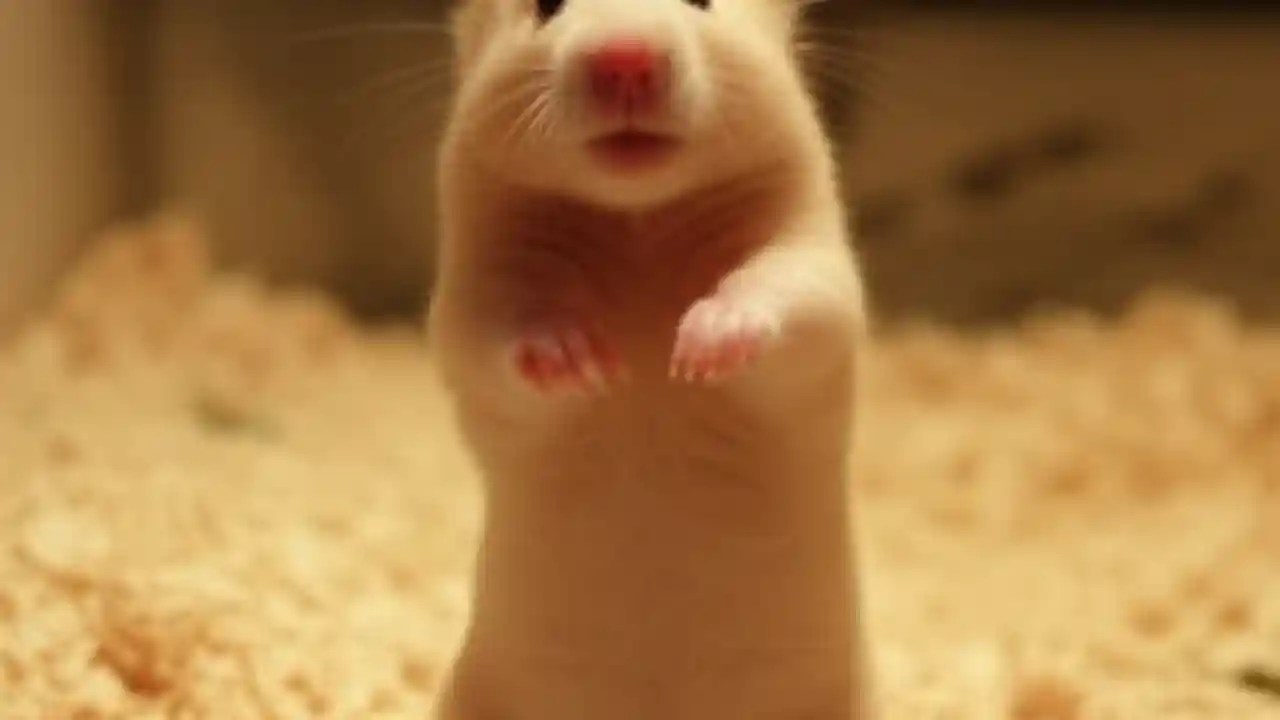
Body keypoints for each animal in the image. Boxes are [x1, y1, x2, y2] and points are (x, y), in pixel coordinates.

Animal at [427, 1, 873, 718]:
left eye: (704, 3)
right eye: (545, 8)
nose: (626, 59)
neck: (638, 215)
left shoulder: (815, 267)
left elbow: (778, 291)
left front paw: (695, 346)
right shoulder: (474, 298)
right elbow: (502, 335)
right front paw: (587, 362)